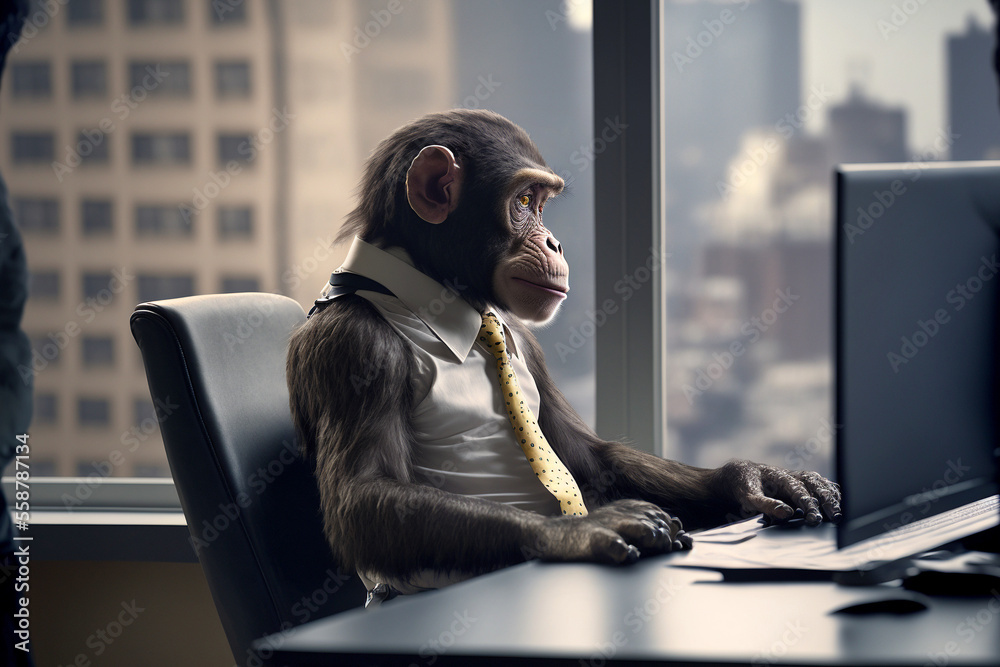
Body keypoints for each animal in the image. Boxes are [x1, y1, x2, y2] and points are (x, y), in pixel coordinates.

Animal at [286, 110, 841, 600]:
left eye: (541, 202)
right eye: (524, 200)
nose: (554, 242)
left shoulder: (523, 341)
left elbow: (587, 456)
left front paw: (752, 478)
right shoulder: (354, 350)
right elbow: (363, 496)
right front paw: (575, 531)